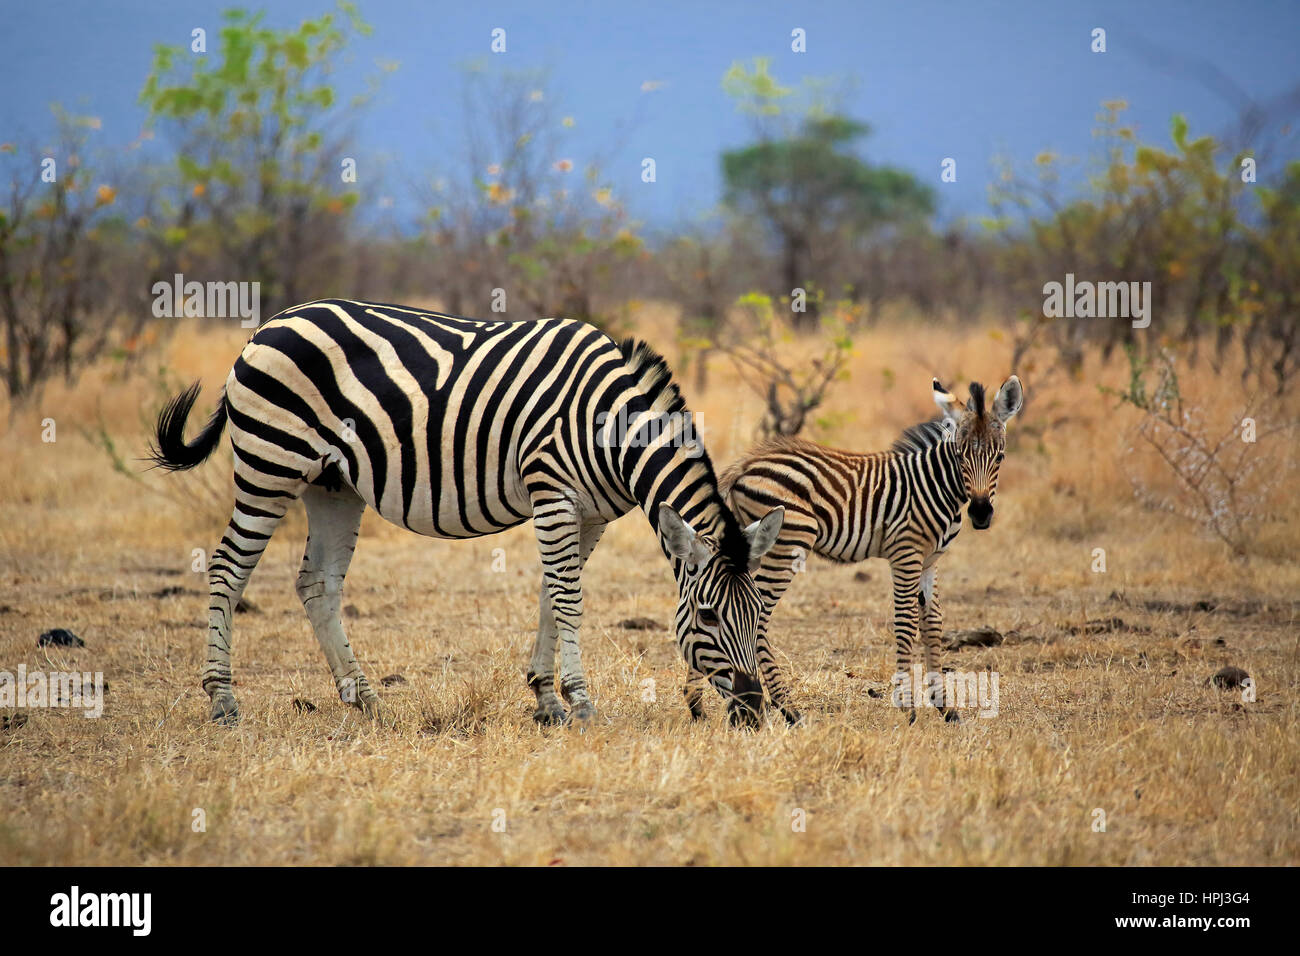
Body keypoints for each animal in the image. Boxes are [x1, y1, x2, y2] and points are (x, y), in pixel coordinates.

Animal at [149, 298, 784, 727]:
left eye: (760, 615)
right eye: (706, 616)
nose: (754, 710)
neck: (610, 428)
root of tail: (265, 326)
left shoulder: (591, 514)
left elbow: (553, 594)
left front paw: (546, 698)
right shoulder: (552, 491)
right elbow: (568, 597)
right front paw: (579, 702)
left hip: (332, 484)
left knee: (317, 583)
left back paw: (365, 698)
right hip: (270, 463)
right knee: (228, 568)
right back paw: (223, 699)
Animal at [687, 376, 1023, 725]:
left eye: (1000, 457)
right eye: (960, 456)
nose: (981, 514)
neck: (934, 485)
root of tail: (745, 466)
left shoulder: (930, 561)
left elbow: (933, 625)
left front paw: (946, 707)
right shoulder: (905, 553)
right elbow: (906, 624)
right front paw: (907, 708)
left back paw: (697, 702)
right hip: (787, 544)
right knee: (757, 616)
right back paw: (786, 707)